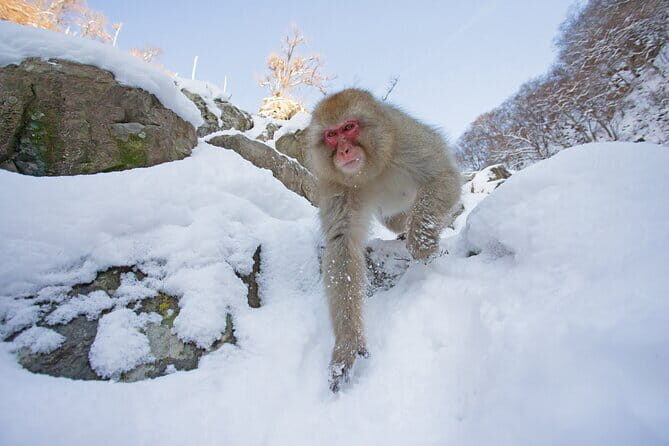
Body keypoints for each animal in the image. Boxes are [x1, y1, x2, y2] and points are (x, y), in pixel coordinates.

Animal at [304, 89, 462, 391]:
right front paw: (347, 344)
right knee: (395, 220)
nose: (344, 151)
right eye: (331, 134)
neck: (371, 171)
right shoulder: (336, 185)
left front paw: (422, 242)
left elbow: (442, 175)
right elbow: (342, 244)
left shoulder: (406, 139)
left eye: (349, 127)